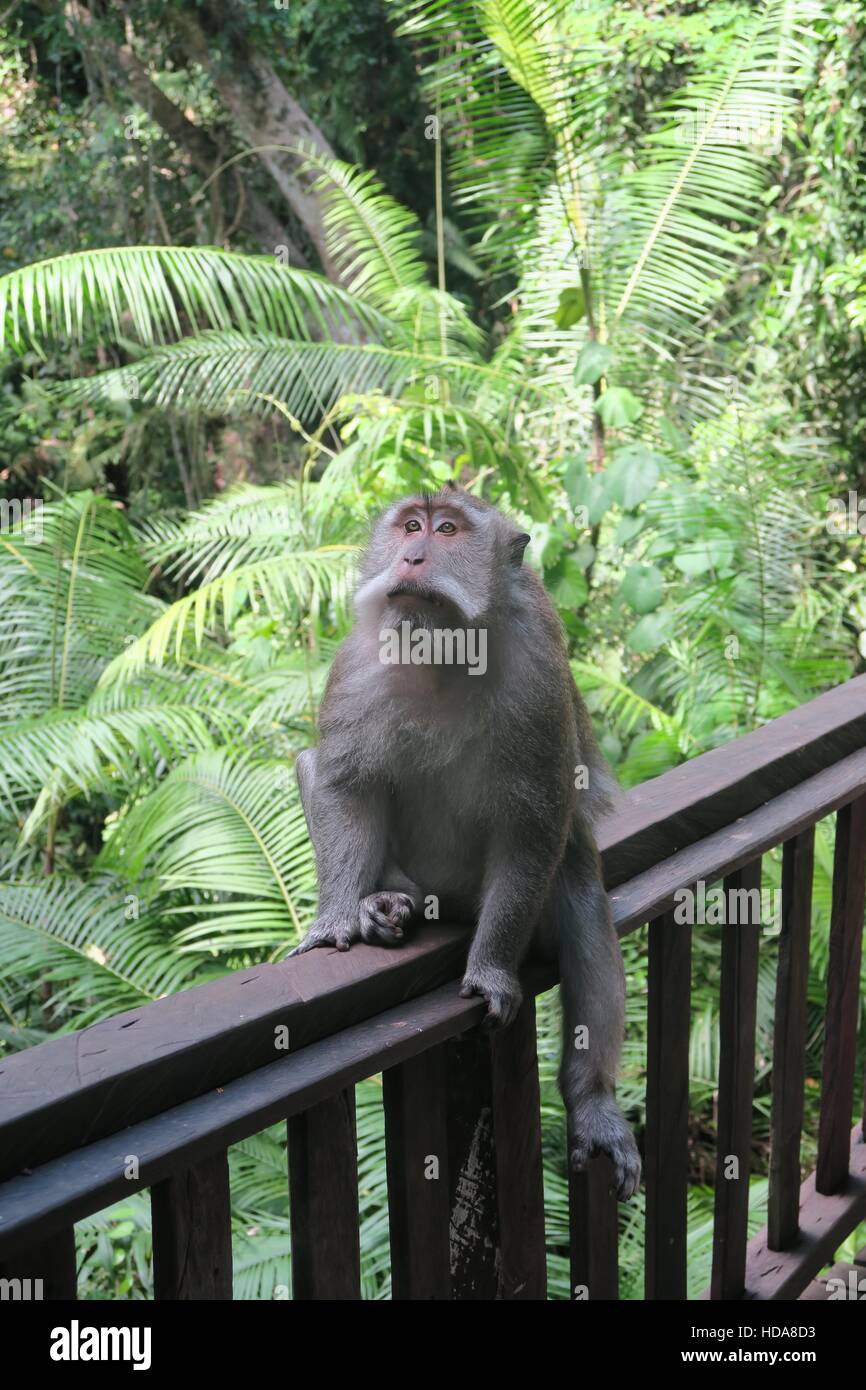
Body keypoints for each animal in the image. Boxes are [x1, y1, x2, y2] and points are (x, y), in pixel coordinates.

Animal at [289, 486, 641, 1200]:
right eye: (410, 527)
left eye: (447, 530)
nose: (412, 557)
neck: (443, 652)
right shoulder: (358, 661)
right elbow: (343, 783)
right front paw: (337, 916)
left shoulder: (537, 673)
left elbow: (535, 825)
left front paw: (489, 971)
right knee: (317, 769)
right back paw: (384, 905)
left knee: (581, 896)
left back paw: (593, 1100)